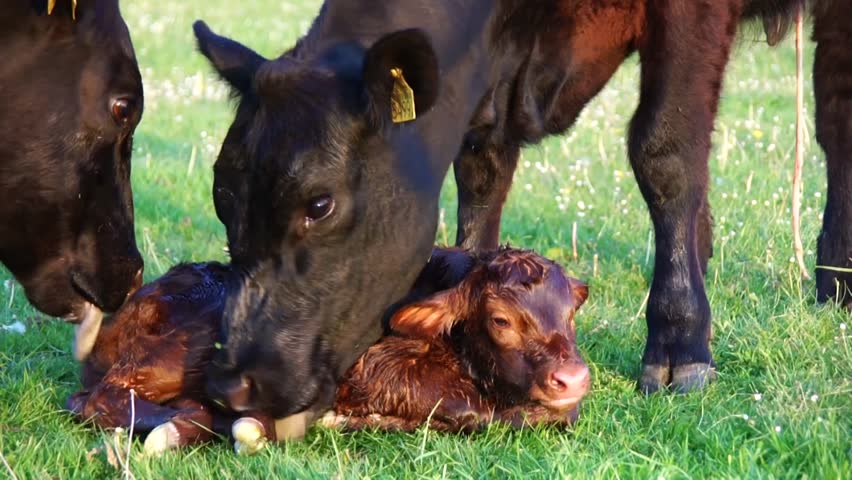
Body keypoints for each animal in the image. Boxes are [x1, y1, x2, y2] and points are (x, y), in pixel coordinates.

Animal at [192, 0, 852, 419]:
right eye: (223, 201)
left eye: (320, 203)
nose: (233, 385)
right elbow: (481, 174)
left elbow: (664, 148)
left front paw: (679, 344)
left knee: (835, 117)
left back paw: (836, 281)